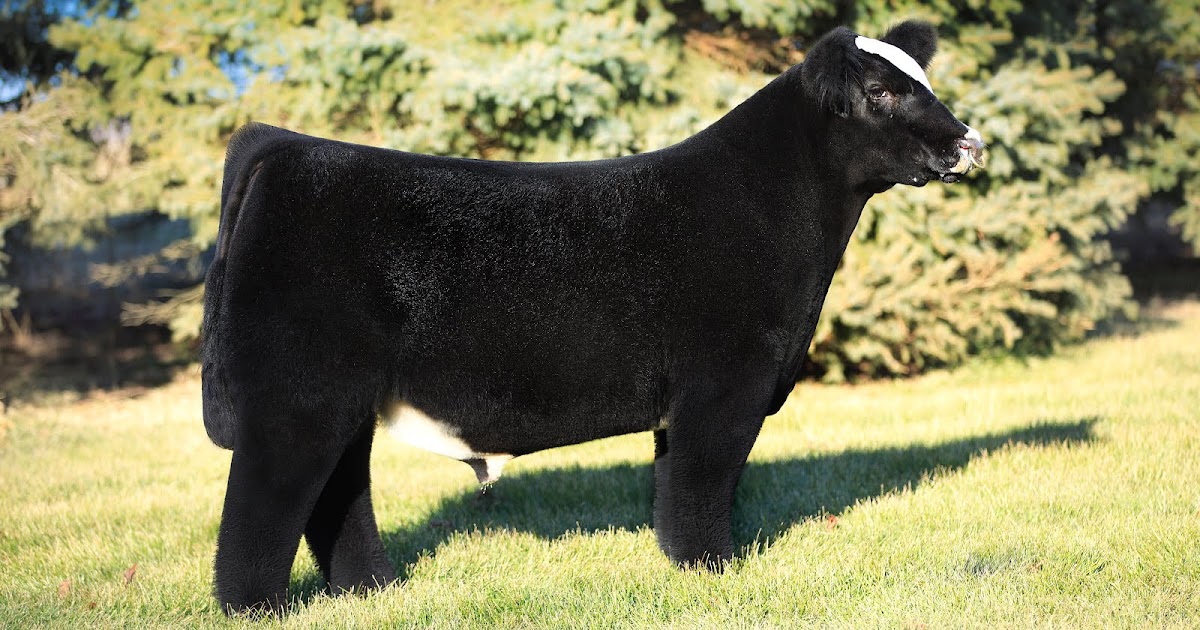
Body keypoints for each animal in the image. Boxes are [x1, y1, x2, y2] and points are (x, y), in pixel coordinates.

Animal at [201, 20, 985, 614]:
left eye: (924, 82)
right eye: (881, 91)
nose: (967, 141)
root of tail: (285, 146)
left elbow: (675, 488)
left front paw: (685, 568)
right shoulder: (726, 384)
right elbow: (705, 483)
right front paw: (713, 573)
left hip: (341, 400)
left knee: (338, 490)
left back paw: (373, 591)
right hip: (295, 395)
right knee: (265, 500)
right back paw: (260, 609)